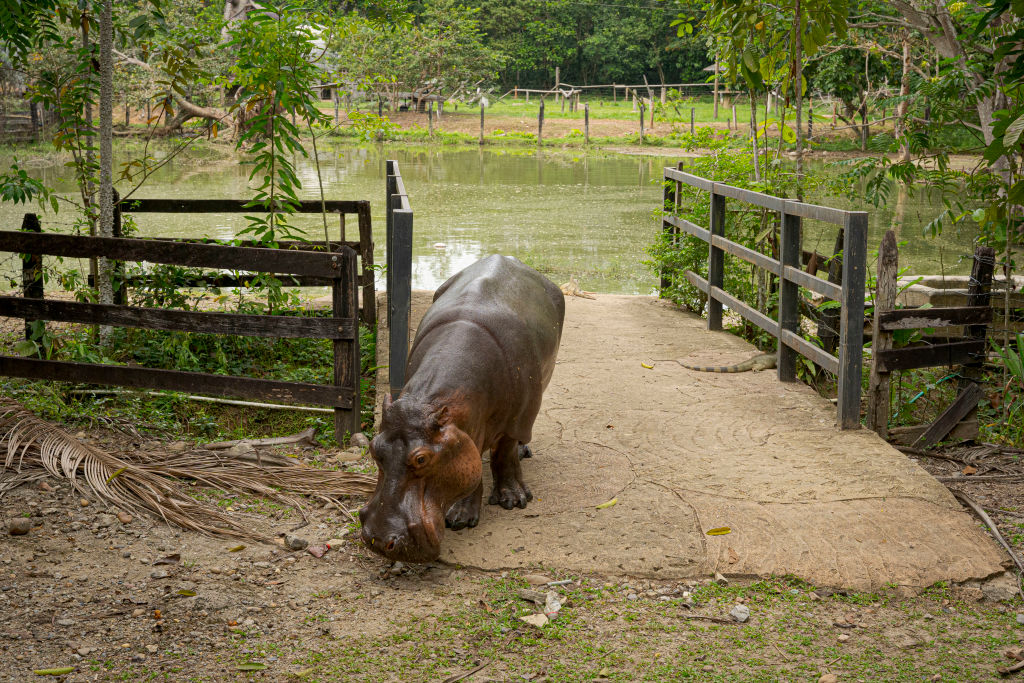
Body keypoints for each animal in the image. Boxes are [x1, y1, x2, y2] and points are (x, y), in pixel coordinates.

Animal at [359, 255, 565, 563]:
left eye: (421, 459)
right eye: (374, 448)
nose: (379, 540)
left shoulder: (516, 418)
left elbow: (504, 455)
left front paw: (514, 501)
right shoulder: (466, 430)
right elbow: (472, 464)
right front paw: (461, 517)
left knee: (515, 443)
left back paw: (522, 453)